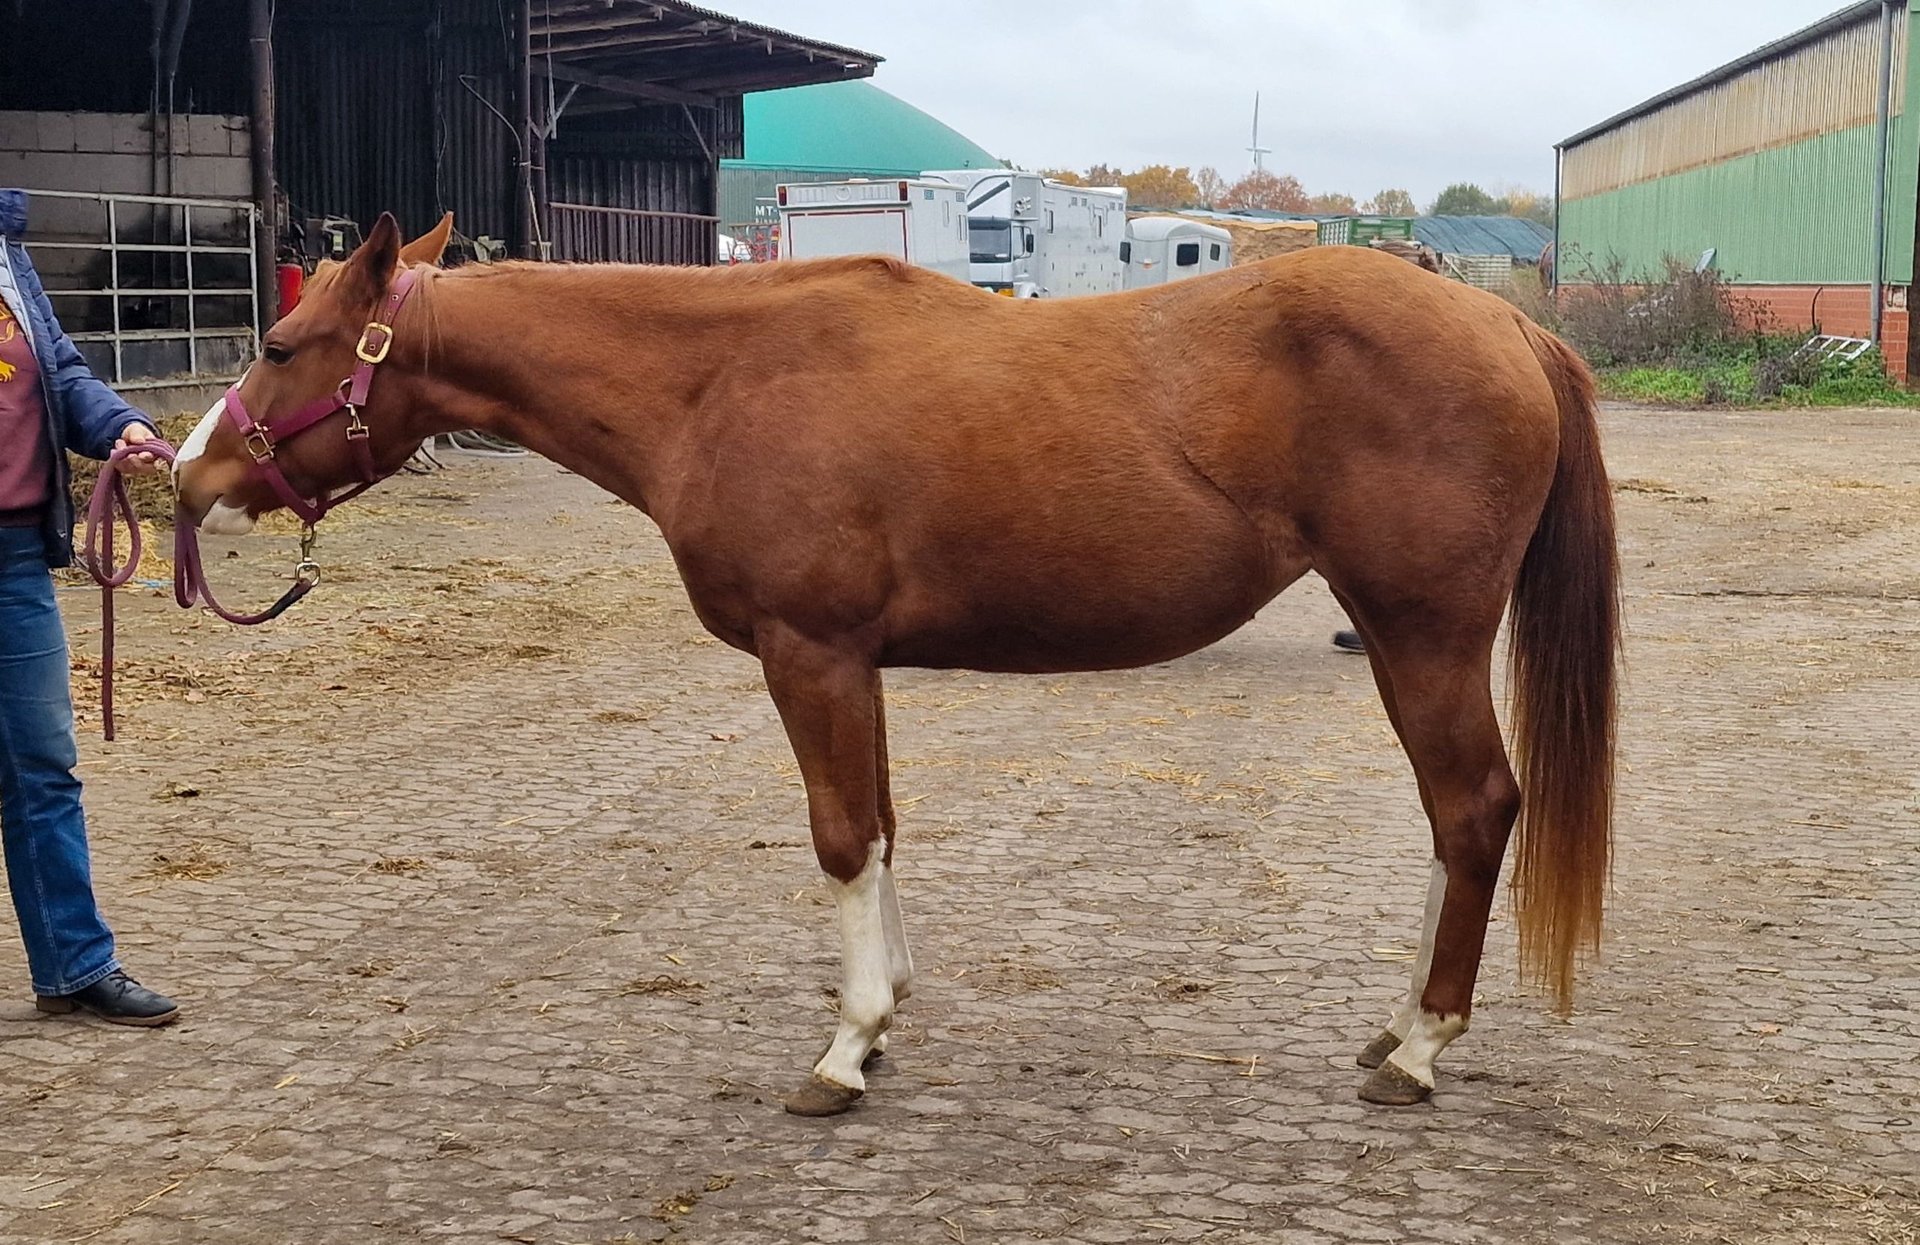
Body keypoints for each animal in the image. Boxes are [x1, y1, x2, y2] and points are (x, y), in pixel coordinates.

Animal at [173, 212, 1618, 1116]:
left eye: (282, 346)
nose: (187, 476)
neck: (722, 379)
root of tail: (1506, 329)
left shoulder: (808, 653)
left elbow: (837, 837)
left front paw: (845, 1045)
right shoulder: (851, 663)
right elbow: (878, 826)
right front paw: (887, 1018)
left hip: (1422, 634)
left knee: (1474, 811)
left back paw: (1421, 1048)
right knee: (1452, 821)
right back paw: (1398, 1020)